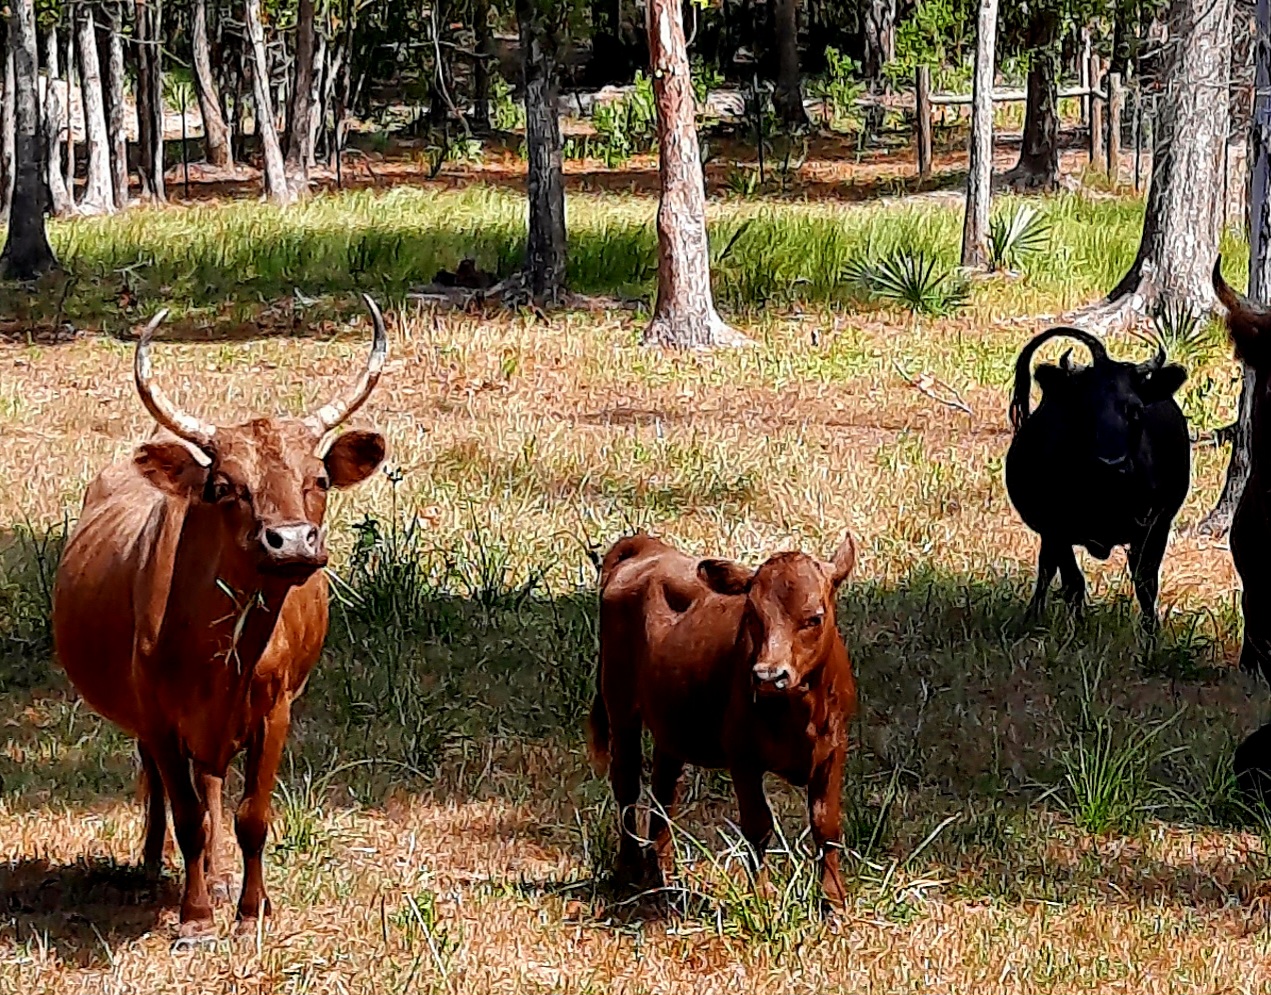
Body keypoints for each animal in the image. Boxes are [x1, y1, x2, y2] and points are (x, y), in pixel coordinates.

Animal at [51, 298, 388, 936]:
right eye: (226, 486)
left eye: (319, 479)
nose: (292, 542)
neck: (221, 655)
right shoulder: (157, 716)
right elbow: (186, 813)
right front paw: (196, 916)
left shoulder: (274, 710)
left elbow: (251, 814)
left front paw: (251, 909)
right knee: (165, 786)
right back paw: (154, 863)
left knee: (212, 786)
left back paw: (220, 871)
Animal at [588, 532, 858, 910]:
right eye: (751, 614)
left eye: (814, 618)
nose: (769, 675)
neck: (799, 711)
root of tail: (650, 548)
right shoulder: (742, 753)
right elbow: (758, 824)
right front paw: (761, 897)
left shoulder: (833, 749)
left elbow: (826, 825)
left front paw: (832, 901)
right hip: (620, 703)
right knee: (627, 785)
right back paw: (628, 871)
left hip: (671, 719)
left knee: (663, 790)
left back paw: (661, 874)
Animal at [1004, 326, 1190, 628]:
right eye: (1083, 409)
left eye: (1135, 409)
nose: (1110, 463)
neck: (1107, 493)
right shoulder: (1056, 526)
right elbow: (1072, 582)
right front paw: (1078, 630)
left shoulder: (1157, 525)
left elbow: (1146, 585)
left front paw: (1152, 632)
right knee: (1047, 569)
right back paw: (1032, 616)